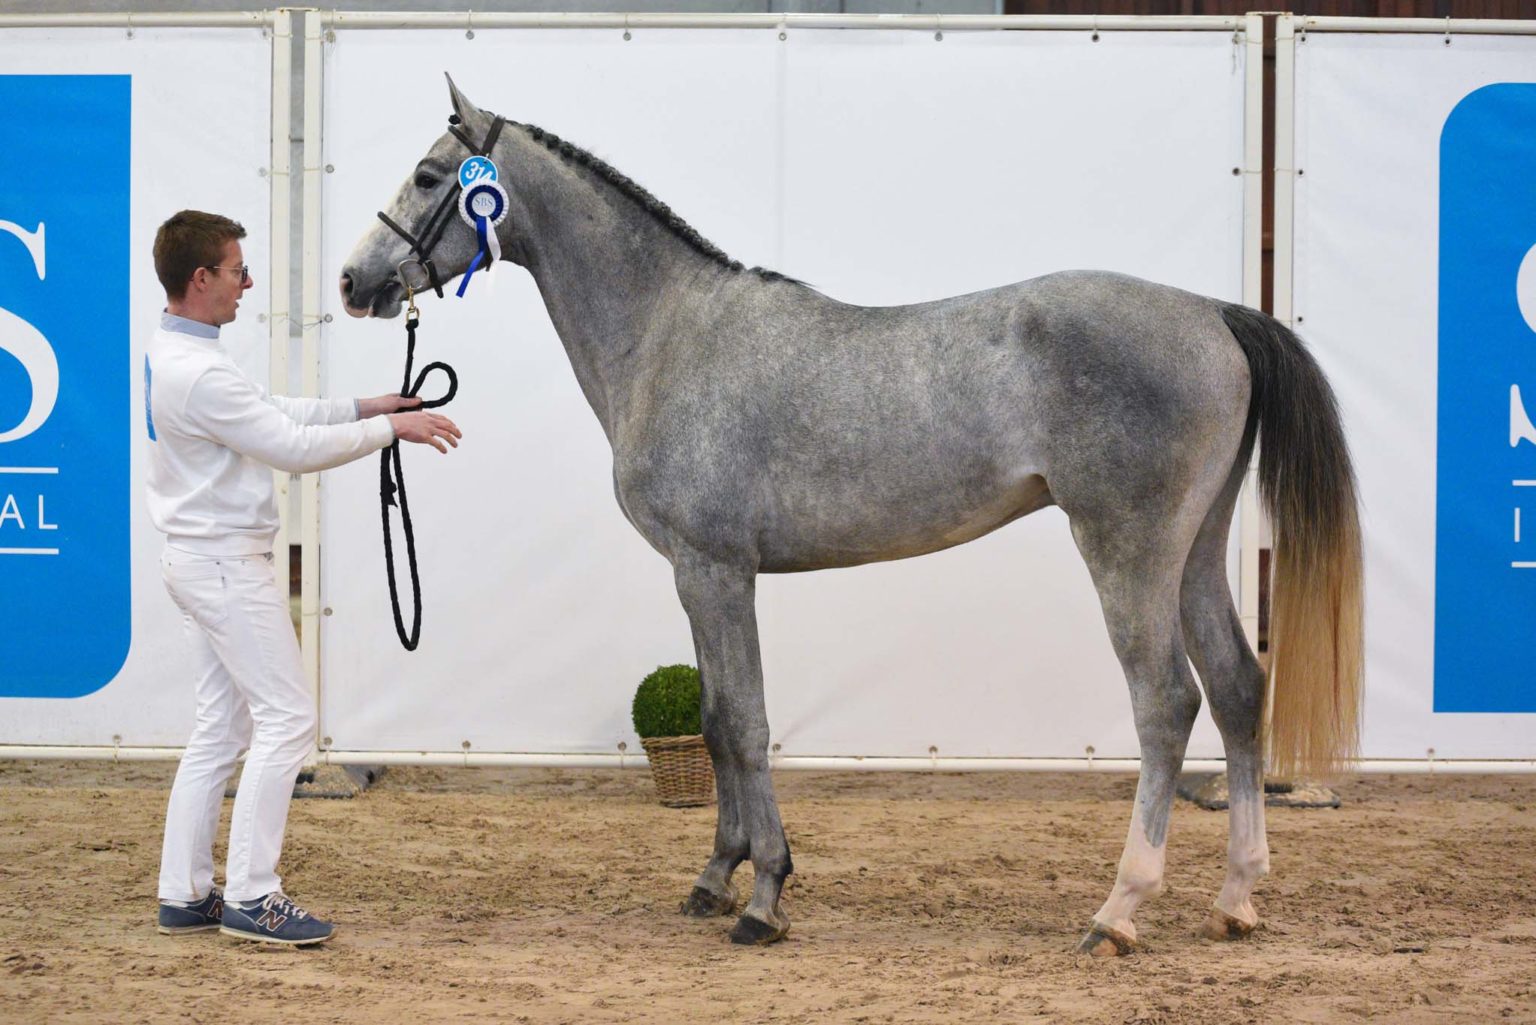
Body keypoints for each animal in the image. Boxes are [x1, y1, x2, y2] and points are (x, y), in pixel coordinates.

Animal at [340, 77, 1363, 955]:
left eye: (430, 174)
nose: (354, 282)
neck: (670, 334)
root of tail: (1214, 313)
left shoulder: (715, 568)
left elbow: (746, 720)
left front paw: (764, 897)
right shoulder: (696, 576)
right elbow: (713, 718)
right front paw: (716, 876)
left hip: (1127, 549)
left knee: (1166, 702)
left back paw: (1118, 910)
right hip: (1195, 550)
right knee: (1236, 688)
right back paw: (1237, 897)